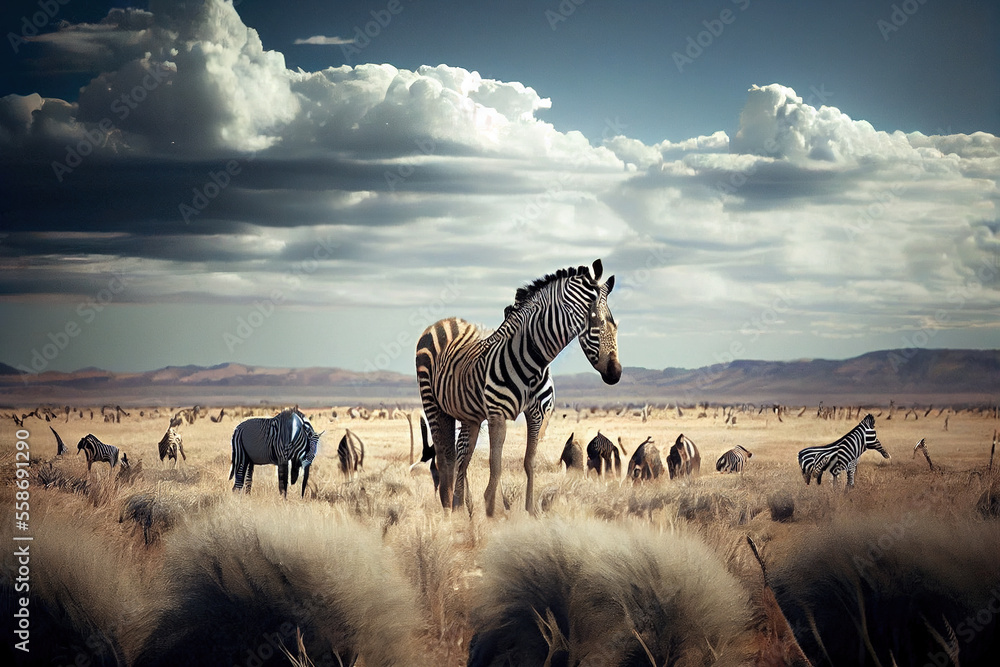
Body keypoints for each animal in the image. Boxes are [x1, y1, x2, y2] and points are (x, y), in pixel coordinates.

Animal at [416, 259, 620, 516]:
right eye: (596, 324)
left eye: (615, 325)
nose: (615, 373)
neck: (535, 361)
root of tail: (446, 321)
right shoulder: (497, 415)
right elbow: (496, 463)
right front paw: (493, 511)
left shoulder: (538, 414)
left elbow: (529, 462)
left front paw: (530, 511)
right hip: (433, 405)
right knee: (446, 457)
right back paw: (449, 510)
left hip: (469, 414)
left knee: (462, 455)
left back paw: (462, 506)